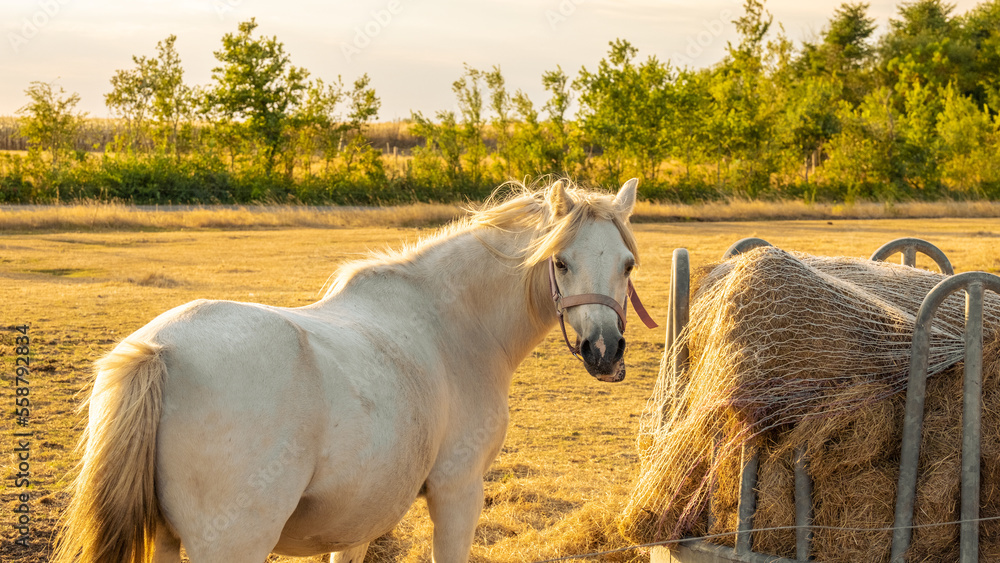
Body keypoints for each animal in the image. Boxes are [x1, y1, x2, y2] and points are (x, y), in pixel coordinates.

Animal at [54, 178, 655, 563]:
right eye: (561, 262)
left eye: (628, 265)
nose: (605, 351)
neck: (450, 323)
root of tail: (161, 350)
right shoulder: (457, 493)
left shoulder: (359, 516)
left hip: (167, 541)